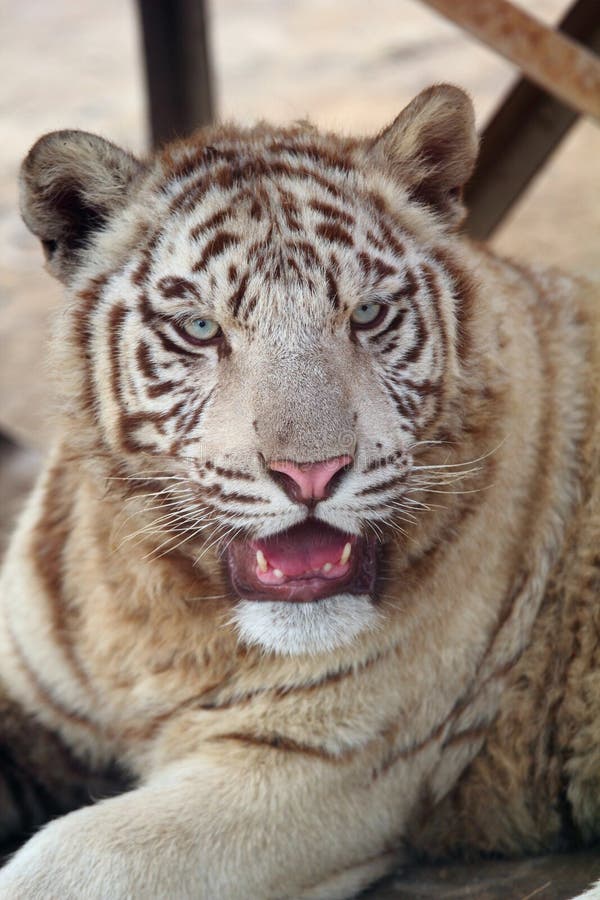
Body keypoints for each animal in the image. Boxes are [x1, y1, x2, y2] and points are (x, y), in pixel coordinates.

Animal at [0, 82, 599, 899]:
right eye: (200, 328)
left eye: (368, 314)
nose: (312, 473)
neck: (159, 609)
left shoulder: (311, 769)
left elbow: (69, 862)